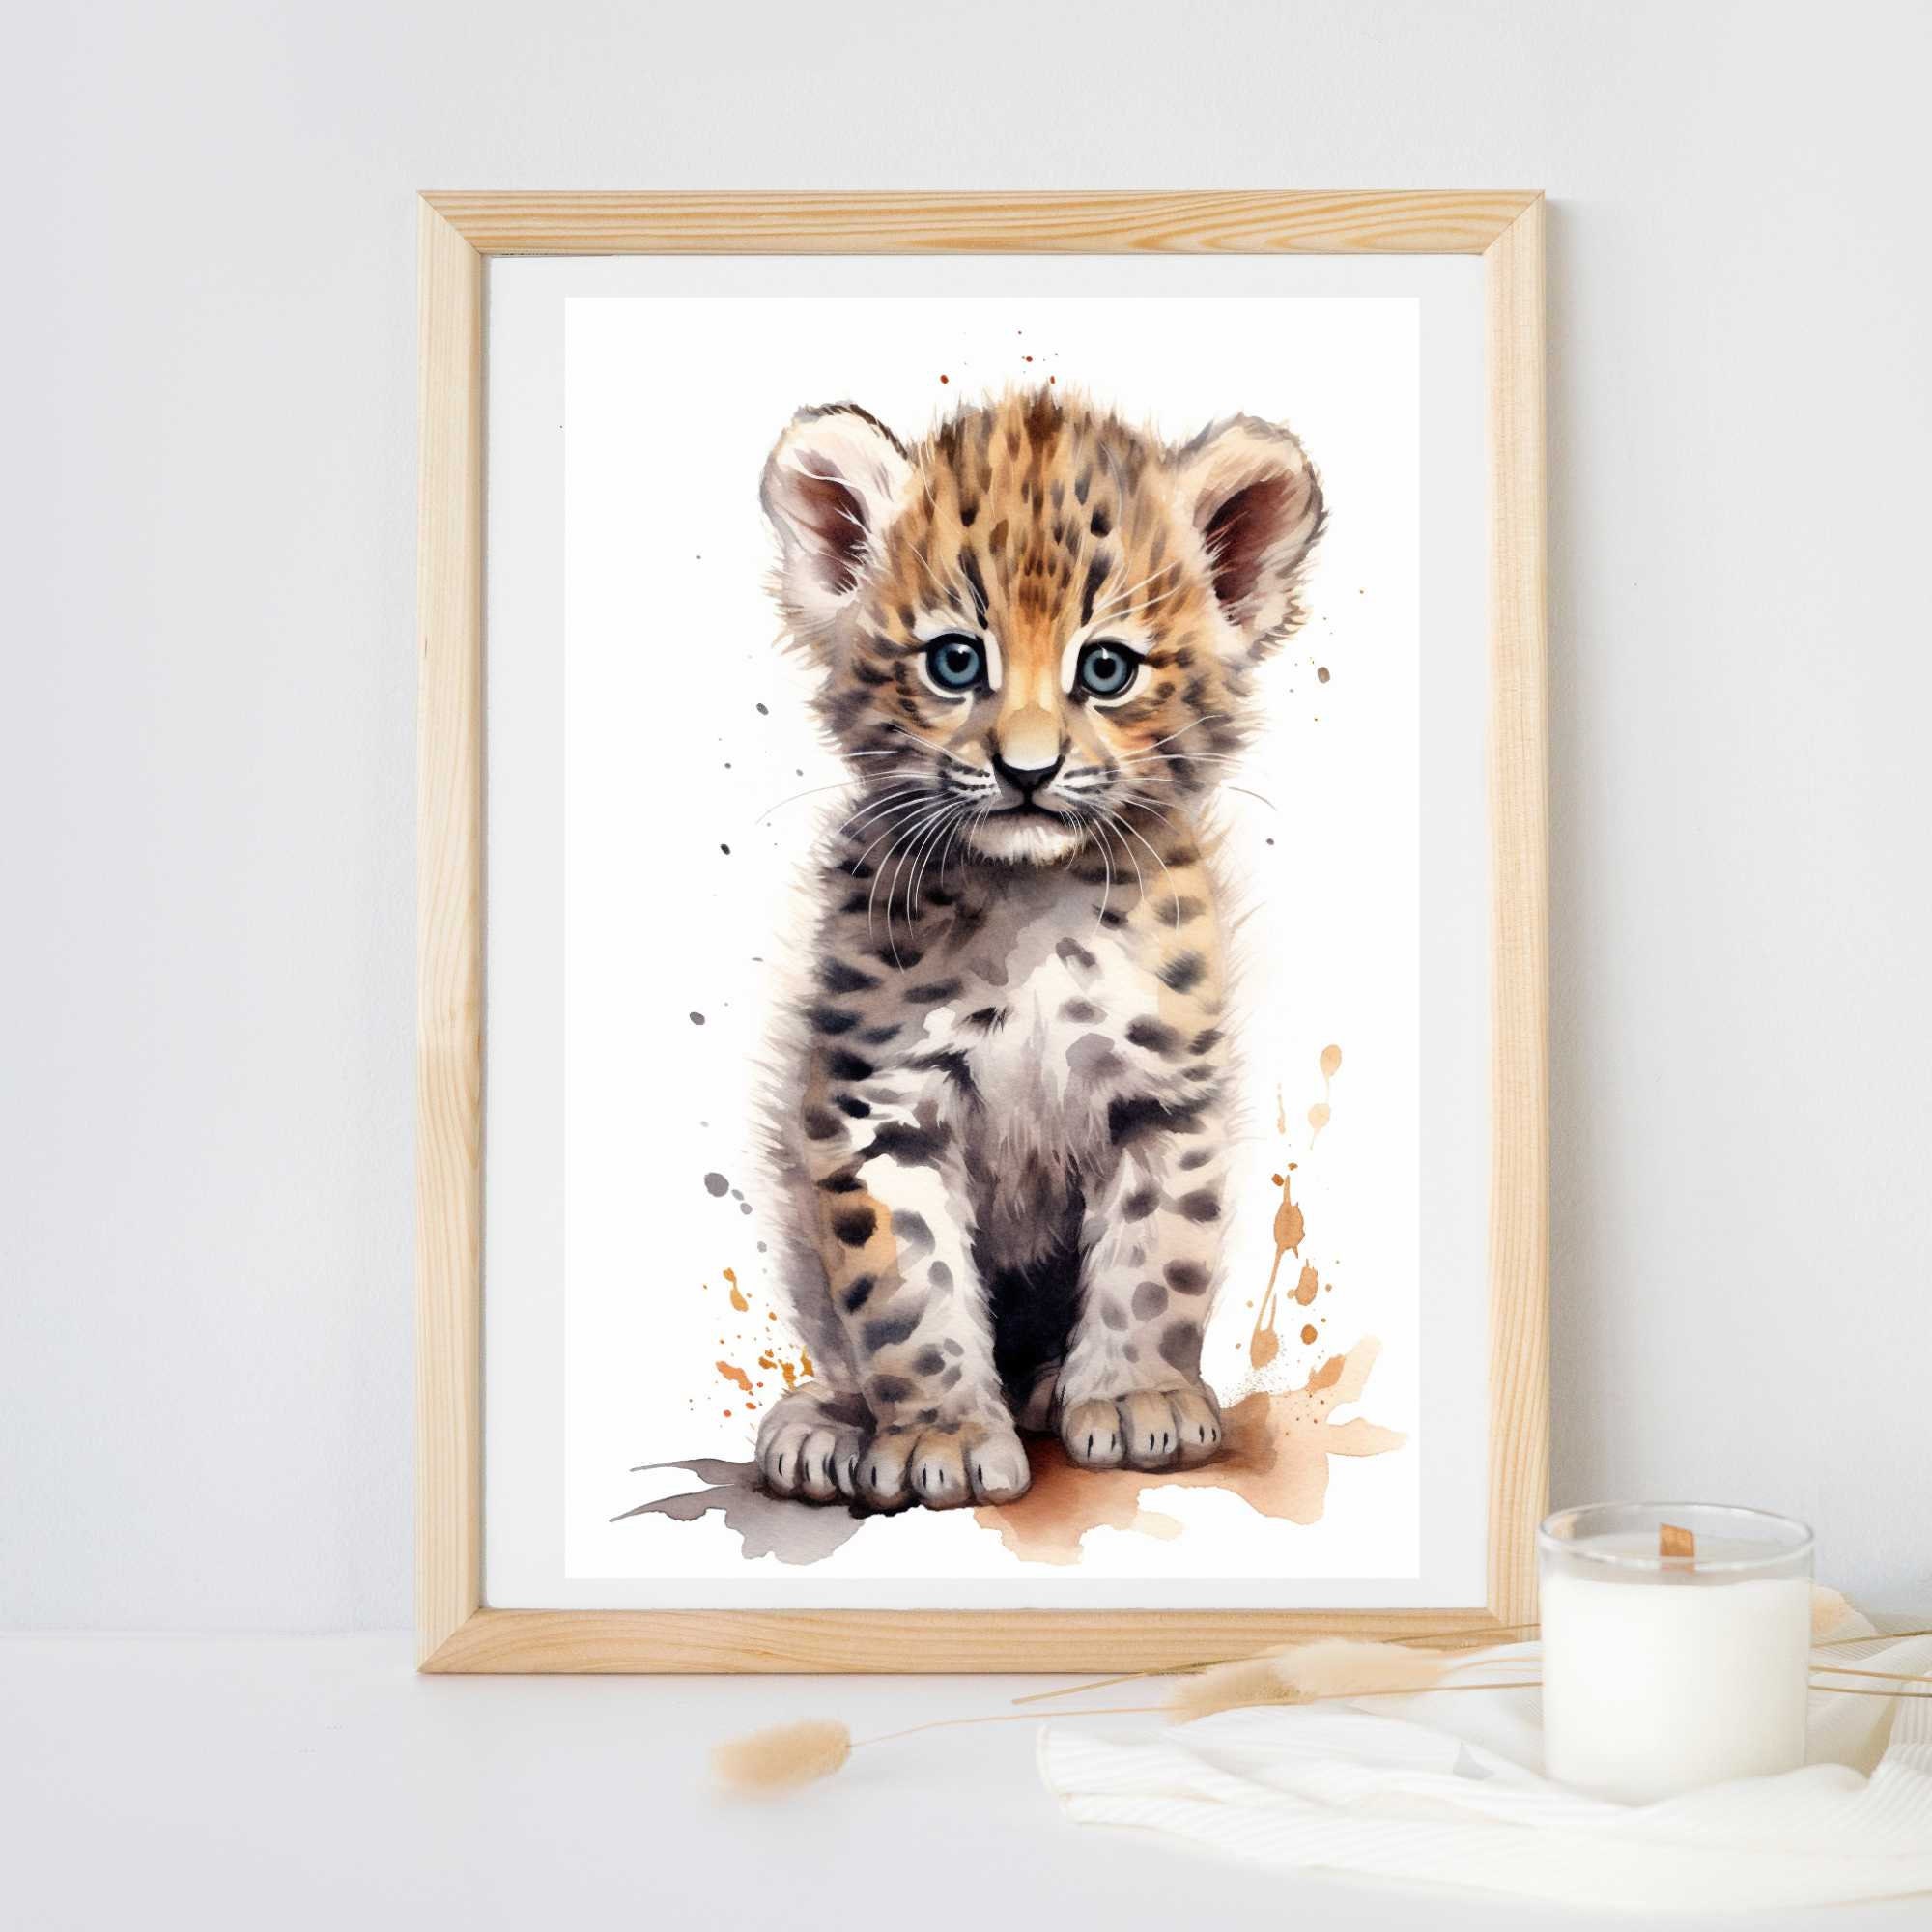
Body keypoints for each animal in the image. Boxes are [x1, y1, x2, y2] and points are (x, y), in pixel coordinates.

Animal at [750, 384, 1325, 1512]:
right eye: (954, 660)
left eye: (1104, 668)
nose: (1027, 770)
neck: (1032, 906)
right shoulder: (875, 1103)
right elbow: (902, 1287)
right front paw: (935, 1434)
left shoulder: (1161, 1091)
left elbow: (1154, 1255)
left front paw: (1137, 1397)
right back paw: (825, 1425)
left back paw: (1056, 1386)